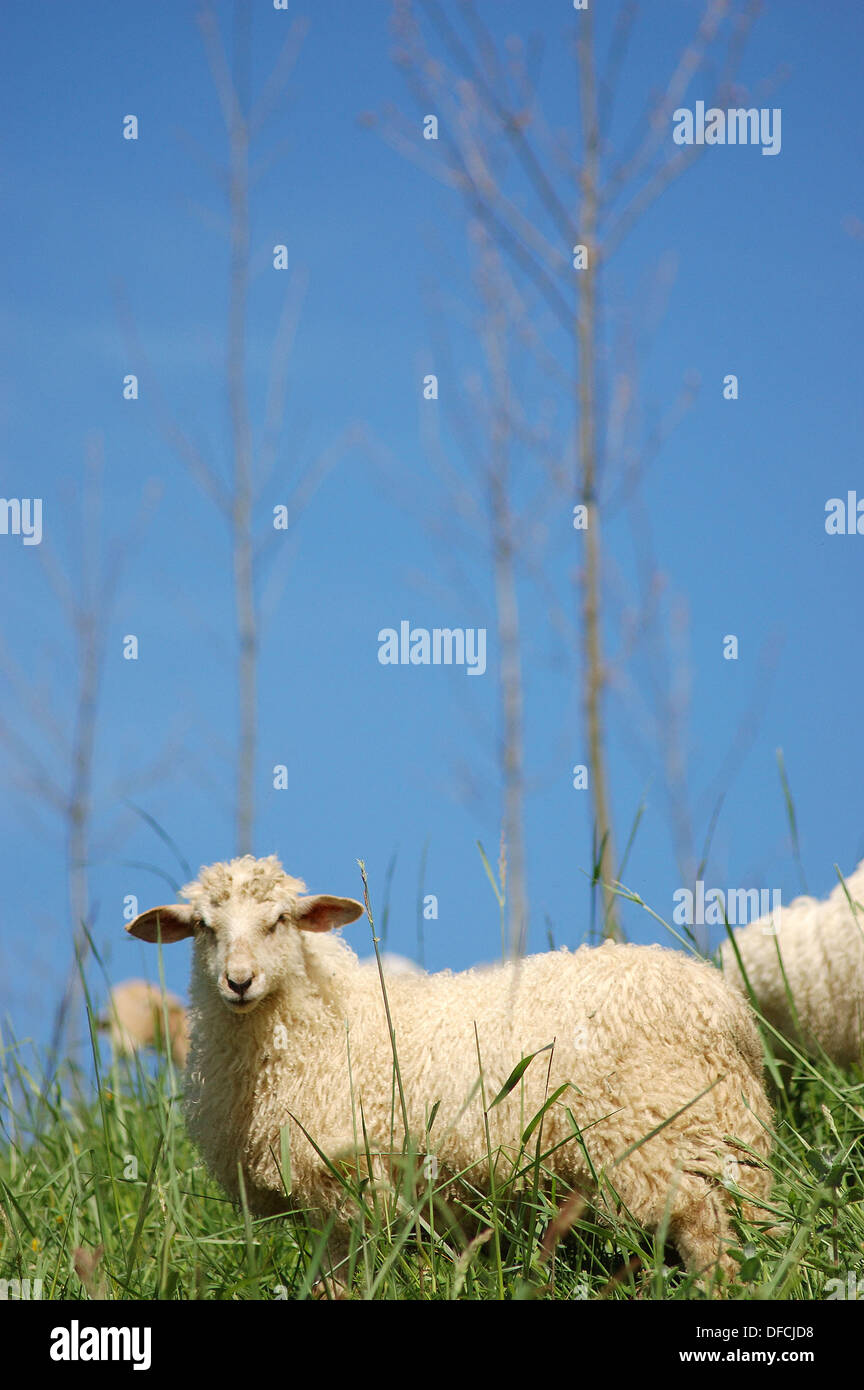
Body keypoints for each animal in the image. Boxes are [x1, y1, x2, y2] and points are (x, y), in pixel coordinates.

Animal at [125, 854, 773, 1284]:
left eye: (280, 920)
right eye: (203, 926)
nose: (238, 981)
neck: (322, 1023)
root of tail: (721, 1001)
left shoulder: (346, 1183)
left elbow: (341, 1280)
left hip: (662, 1132)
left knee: (706, 1231)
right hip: (720, 1134)